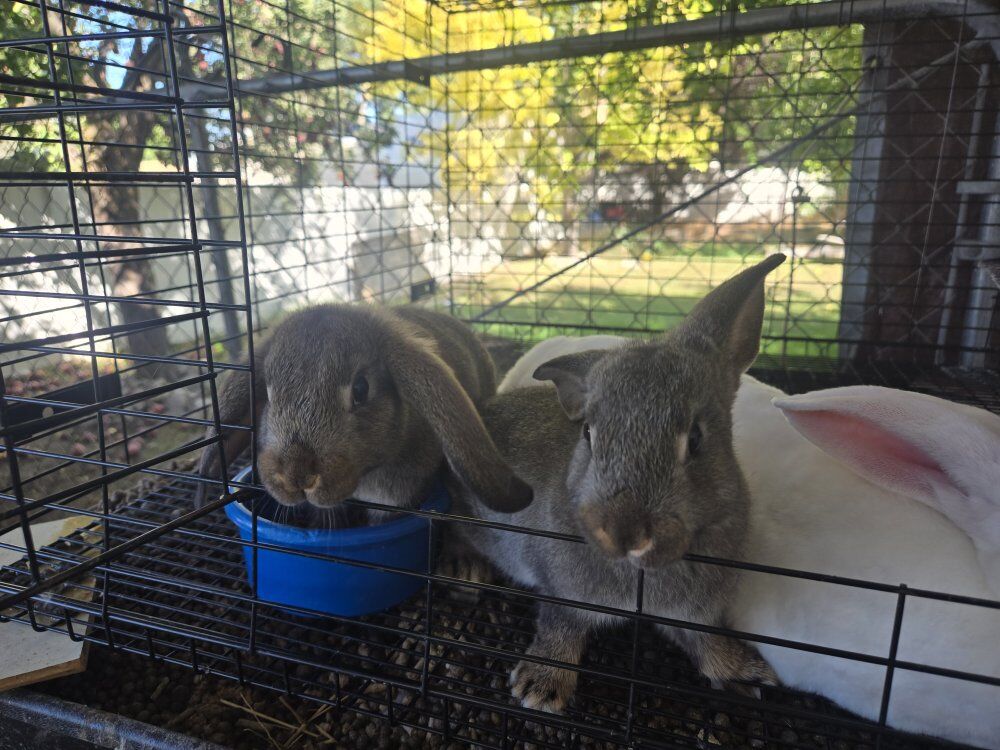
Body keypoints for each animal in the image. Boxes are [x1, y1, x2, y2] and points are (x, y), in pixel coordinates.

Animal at [447, 256, 786, 712]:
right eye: (589, 434)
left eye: (696, 438)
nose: (624, 532)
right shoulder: (562, 591)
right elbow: (561, 626)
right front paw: (541, 687)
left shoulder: (695, 611)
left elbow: (705, 637)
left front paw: (743, 673)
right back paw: (466, 569)